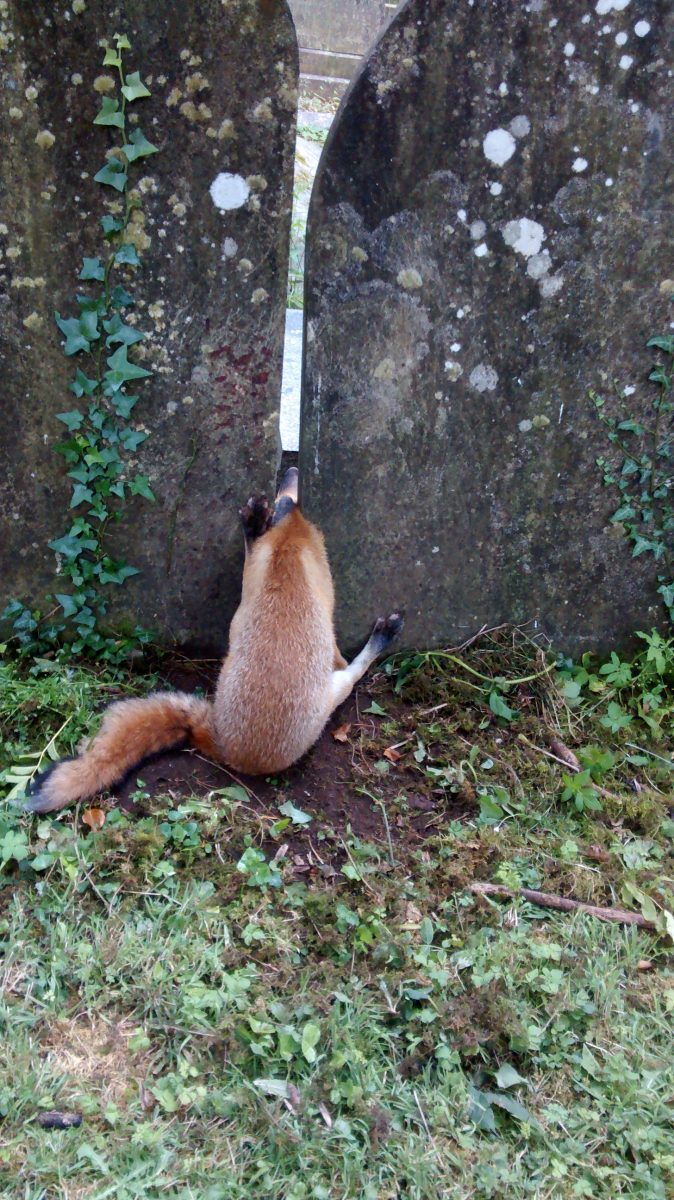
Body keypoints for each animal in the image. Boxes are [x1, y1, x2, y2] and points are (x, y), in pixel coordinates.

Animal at [25, 467, 403, 813]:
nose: (292, 468)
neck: (288, 552)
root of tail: (229, 749)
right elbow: (341, 655)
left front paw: (254, 520)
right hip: (332, 691)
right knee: (354, 671)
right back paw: (383, 636)